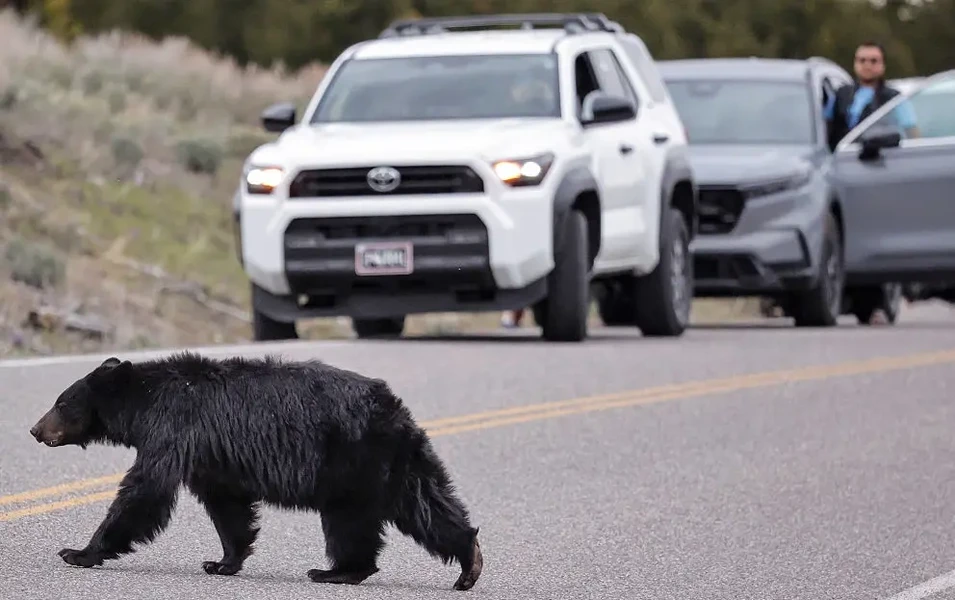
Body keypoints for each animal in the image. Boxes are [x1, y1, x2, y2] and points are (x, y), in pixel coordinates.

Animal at [29, 352, 483, 591]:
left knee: (353, 521)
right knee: (426, 502)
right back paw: (467, 561)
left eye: (61, 402)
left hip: (353, 460)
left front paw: (79, 552)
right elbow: (227, 506)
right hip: (395, 462)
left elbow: (145, 492)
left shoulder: (173, 428)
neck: (144, 399)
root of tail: (392, 405)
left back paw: (335, 571)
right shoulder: (210, 457)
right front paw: (223, 561)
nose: (35, 430)